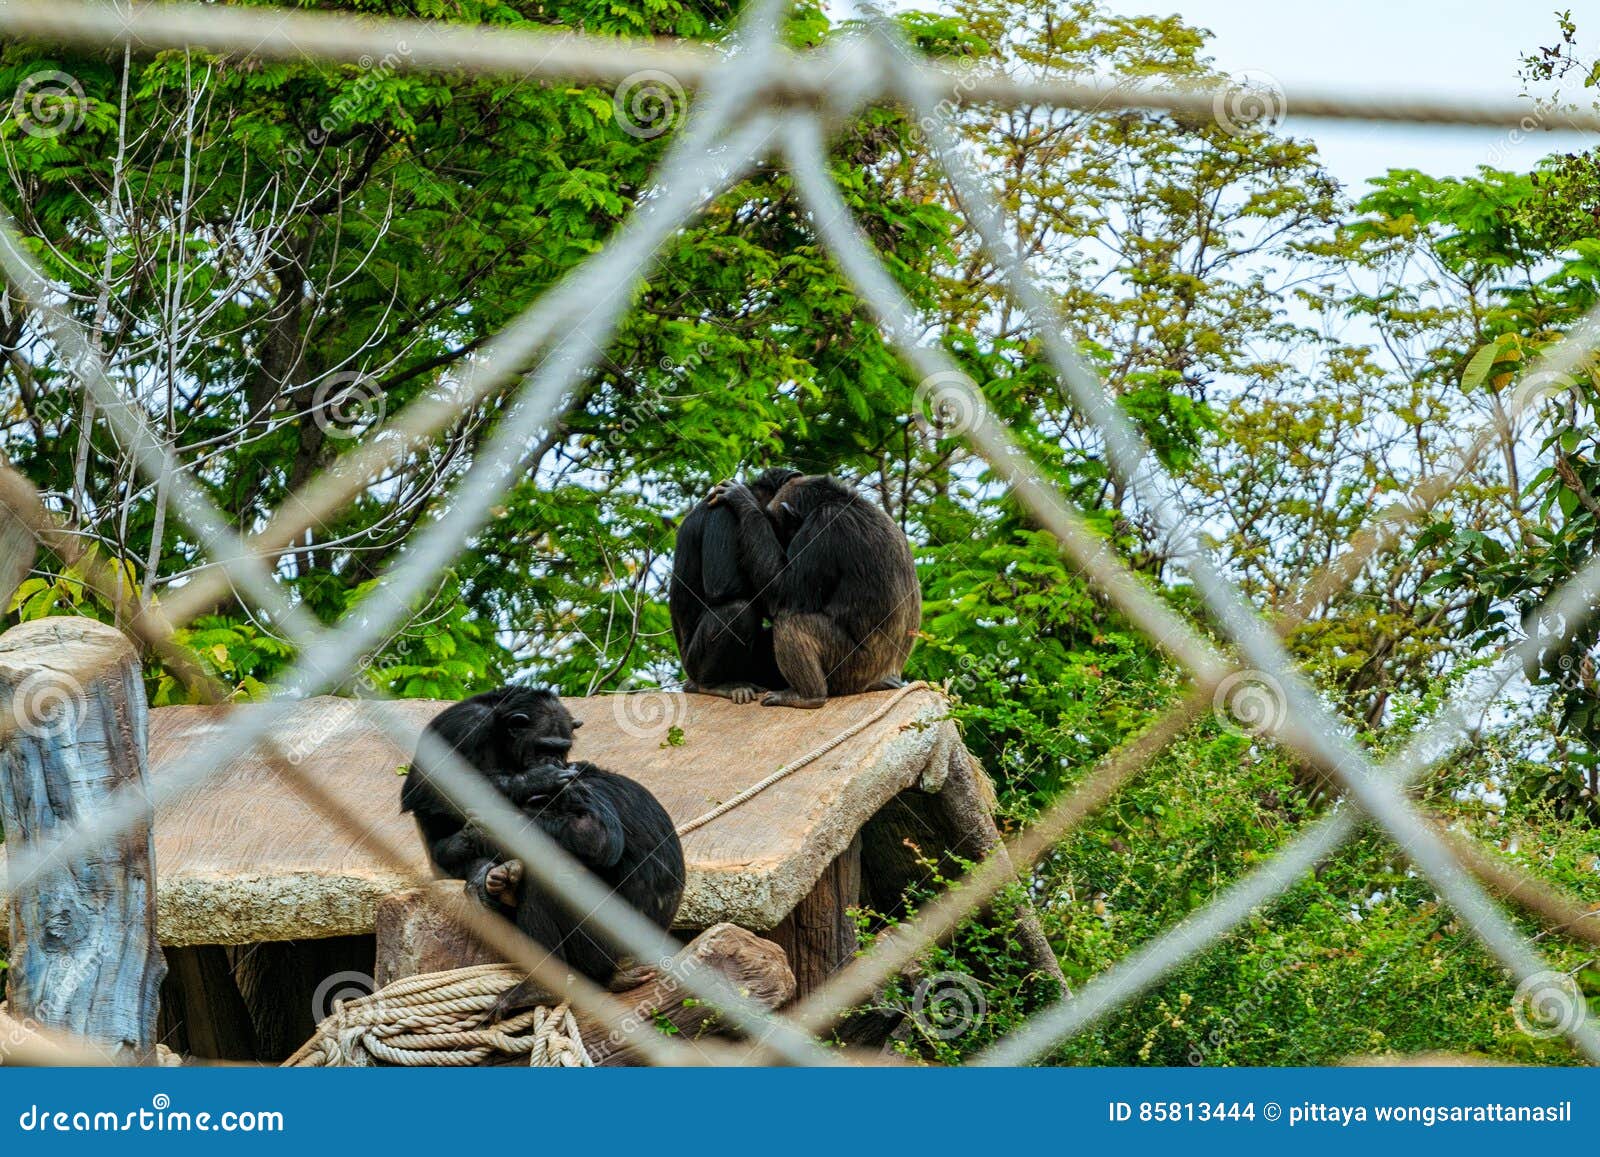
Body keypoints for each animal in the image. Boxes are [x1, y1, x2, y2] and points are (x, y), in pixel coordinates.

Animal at [669, 467, 800, 703]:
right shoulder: (723, 513)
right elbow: (723, 585)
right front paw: (743, 499)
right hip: (695, 664)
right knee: (737, 610)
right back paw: (716, 685)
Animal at [708, 473, 920, 709]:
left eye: (774, 523)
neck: (837, 500)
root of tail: (887, 675)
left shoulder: (823, 527)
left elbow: (786, 593)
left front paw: (742, 499)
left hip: (851, 670)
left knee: (792, 622)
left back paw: (807, 695)